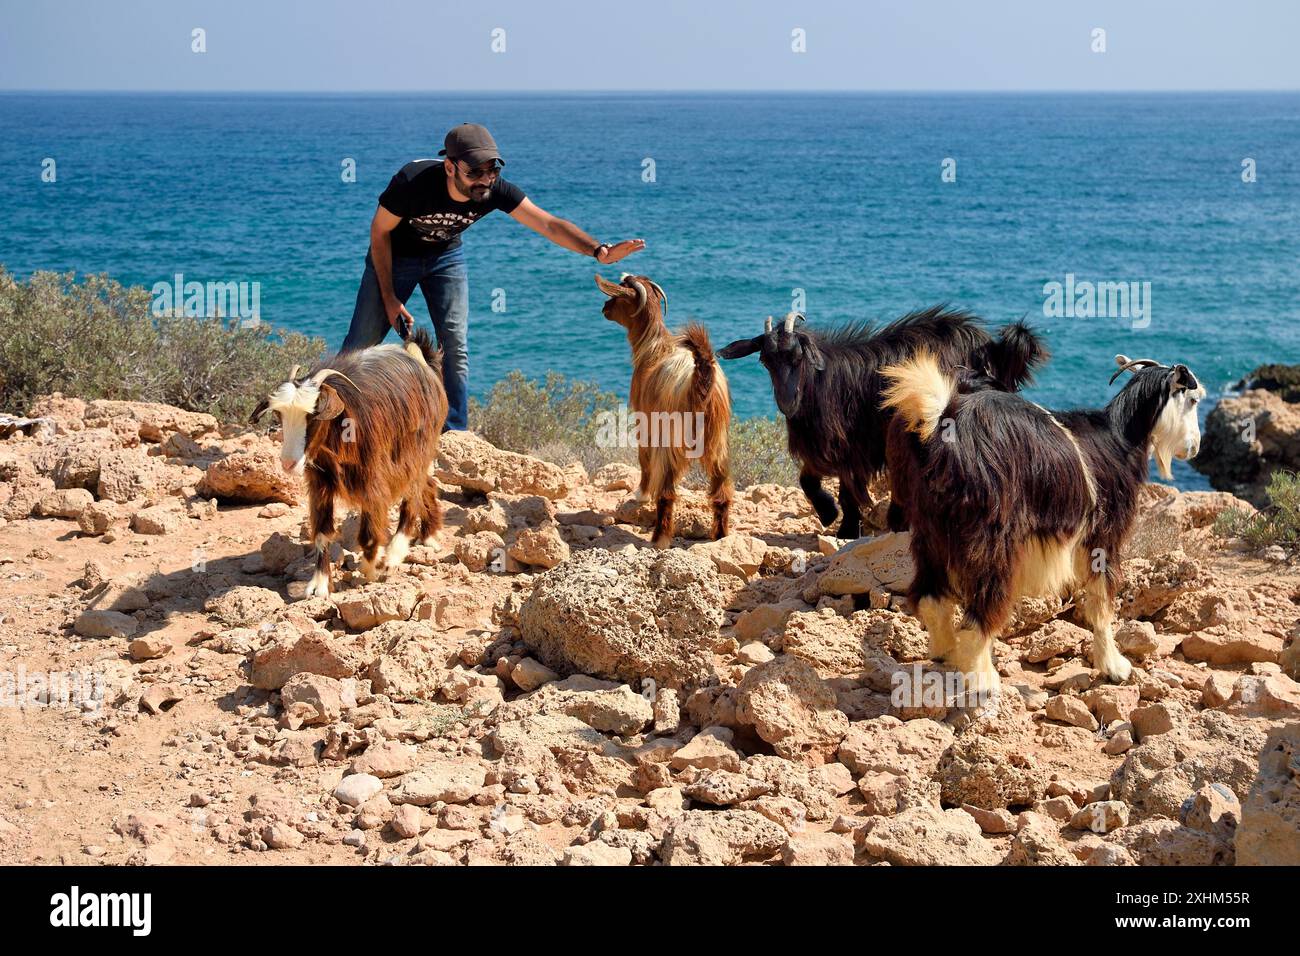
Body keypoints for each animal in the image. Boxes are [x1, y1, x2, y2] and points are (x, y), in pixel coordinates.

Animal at [250, 328, 449, 597]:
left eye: (313, 417)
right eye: (279, 415)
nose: (289, 463)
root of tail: (423, 361)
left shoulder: (373, 478)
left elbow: (368, 535)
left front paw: (371, 570)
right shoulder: (320, 481)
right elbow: (322, 532)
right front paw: (319, 585)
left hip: (416, 451)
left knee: (412, 495)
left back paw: (394, 555)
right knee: (427, 485)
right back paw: (430, 534)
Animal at [595, 273, 733, 548]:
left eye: (618, 295)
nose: (604, 308)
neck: (652, 345)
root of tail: (701, 380)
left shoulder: (645, 421)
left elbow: (643, 459)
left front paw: (640, 494)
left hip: (670, 440)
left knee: (667, 493)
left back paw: (659, 538)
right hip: (717, 441)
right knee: (721, 492)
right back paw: (720, 536)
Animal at [719, 307, 1047, 539]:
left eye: (798, 357)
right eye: (765, 361)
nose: (788, 402)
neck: (823, 384)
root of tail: (993, 348)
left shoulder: (852, 448)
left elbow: (848, 492)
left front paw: (846, 529)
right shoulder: (825, 448)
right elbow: (807, 480)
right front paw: (828, 514)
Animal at [881, 352, 1206, 700]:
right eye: (1193, 399)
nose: (1195, 447)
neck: (1120, 438)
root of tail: (941, 421)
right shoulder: (1103, 536)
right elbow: (1102, 601)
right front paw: (1115, 667)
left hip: (930, 528)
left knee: (931, 597)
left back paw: (946, 653)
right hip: (991, 537)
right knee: (981, 608)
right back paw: (982, 680)